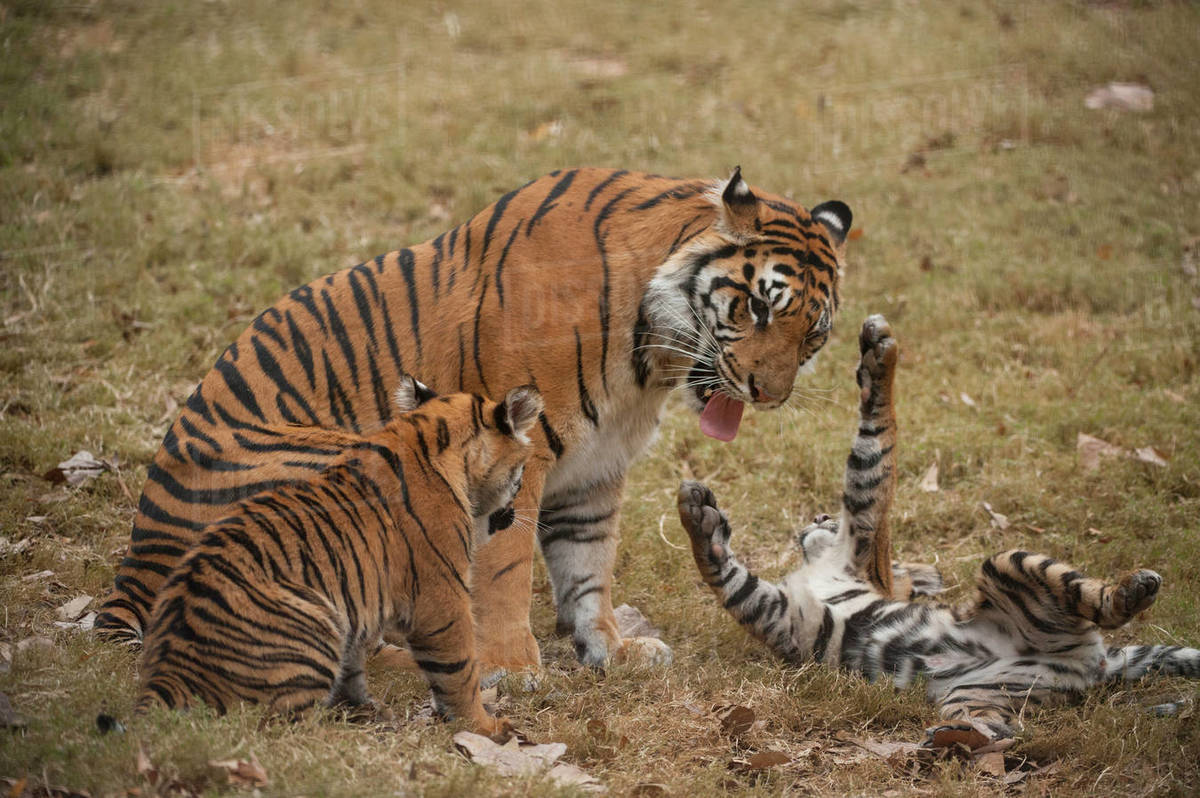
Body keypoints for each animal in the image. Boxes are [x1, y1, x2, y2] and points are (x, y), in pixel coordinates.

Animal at [97, 167, 855, 671]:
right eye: (757, 307)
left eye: (814, 335)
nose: (767, 393)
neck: (647, 359)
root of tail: (143, 548)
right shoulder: (521, 450)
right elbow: (507, 567)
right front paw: (511, 666)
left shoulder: (596, 469)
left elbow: (588, 566)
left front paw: (609, 648)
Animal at [133, 377, 542, 740]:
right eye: (521, 474)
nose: (512, 515)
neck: (425, 435)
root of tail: (169, 669)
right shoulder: (441, 600)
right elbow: (458, 670)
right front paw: (484, 726)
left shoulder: (357, 606)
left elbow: (354, 666)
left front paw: (364, 706)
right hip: (314, 620)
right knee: (280, 723)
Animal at [677, 315, 1200, 740]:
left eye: (825, 515)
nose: (817, 518)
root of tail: (1094, 664)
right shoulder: (781, 611)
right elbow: (728, 573)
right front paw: (698, 511)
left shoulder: (853, 540)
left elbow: (873, 444)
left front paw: (878, 357)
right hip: (980, 693)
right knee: (998, 727)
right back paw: (958, 738)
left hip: (1006, 563)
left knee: (1097, 600)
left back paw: (1133, 591)